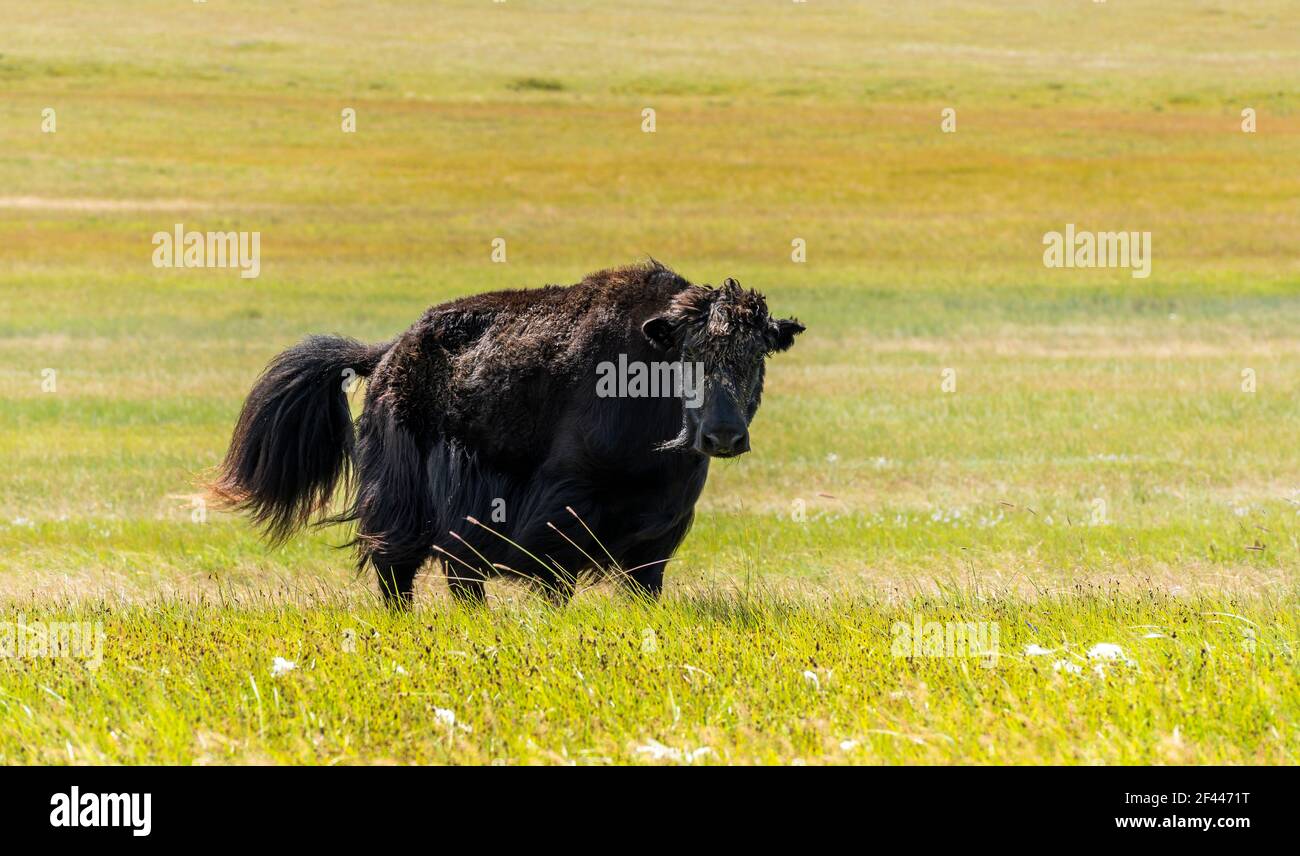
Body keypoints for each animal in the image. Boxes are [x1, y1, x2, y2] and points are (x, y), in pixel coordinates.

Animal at [209, 261, 804, 606]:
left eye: (755, 356)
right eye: (689, 357)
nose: (723, 437)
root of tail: (388, 351)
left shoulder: (661, 519)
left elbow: (645, 581)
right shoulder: (562, 503)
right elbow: (555, 572)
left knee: (456, 572)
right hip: (404, 492)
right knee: (396, 565)